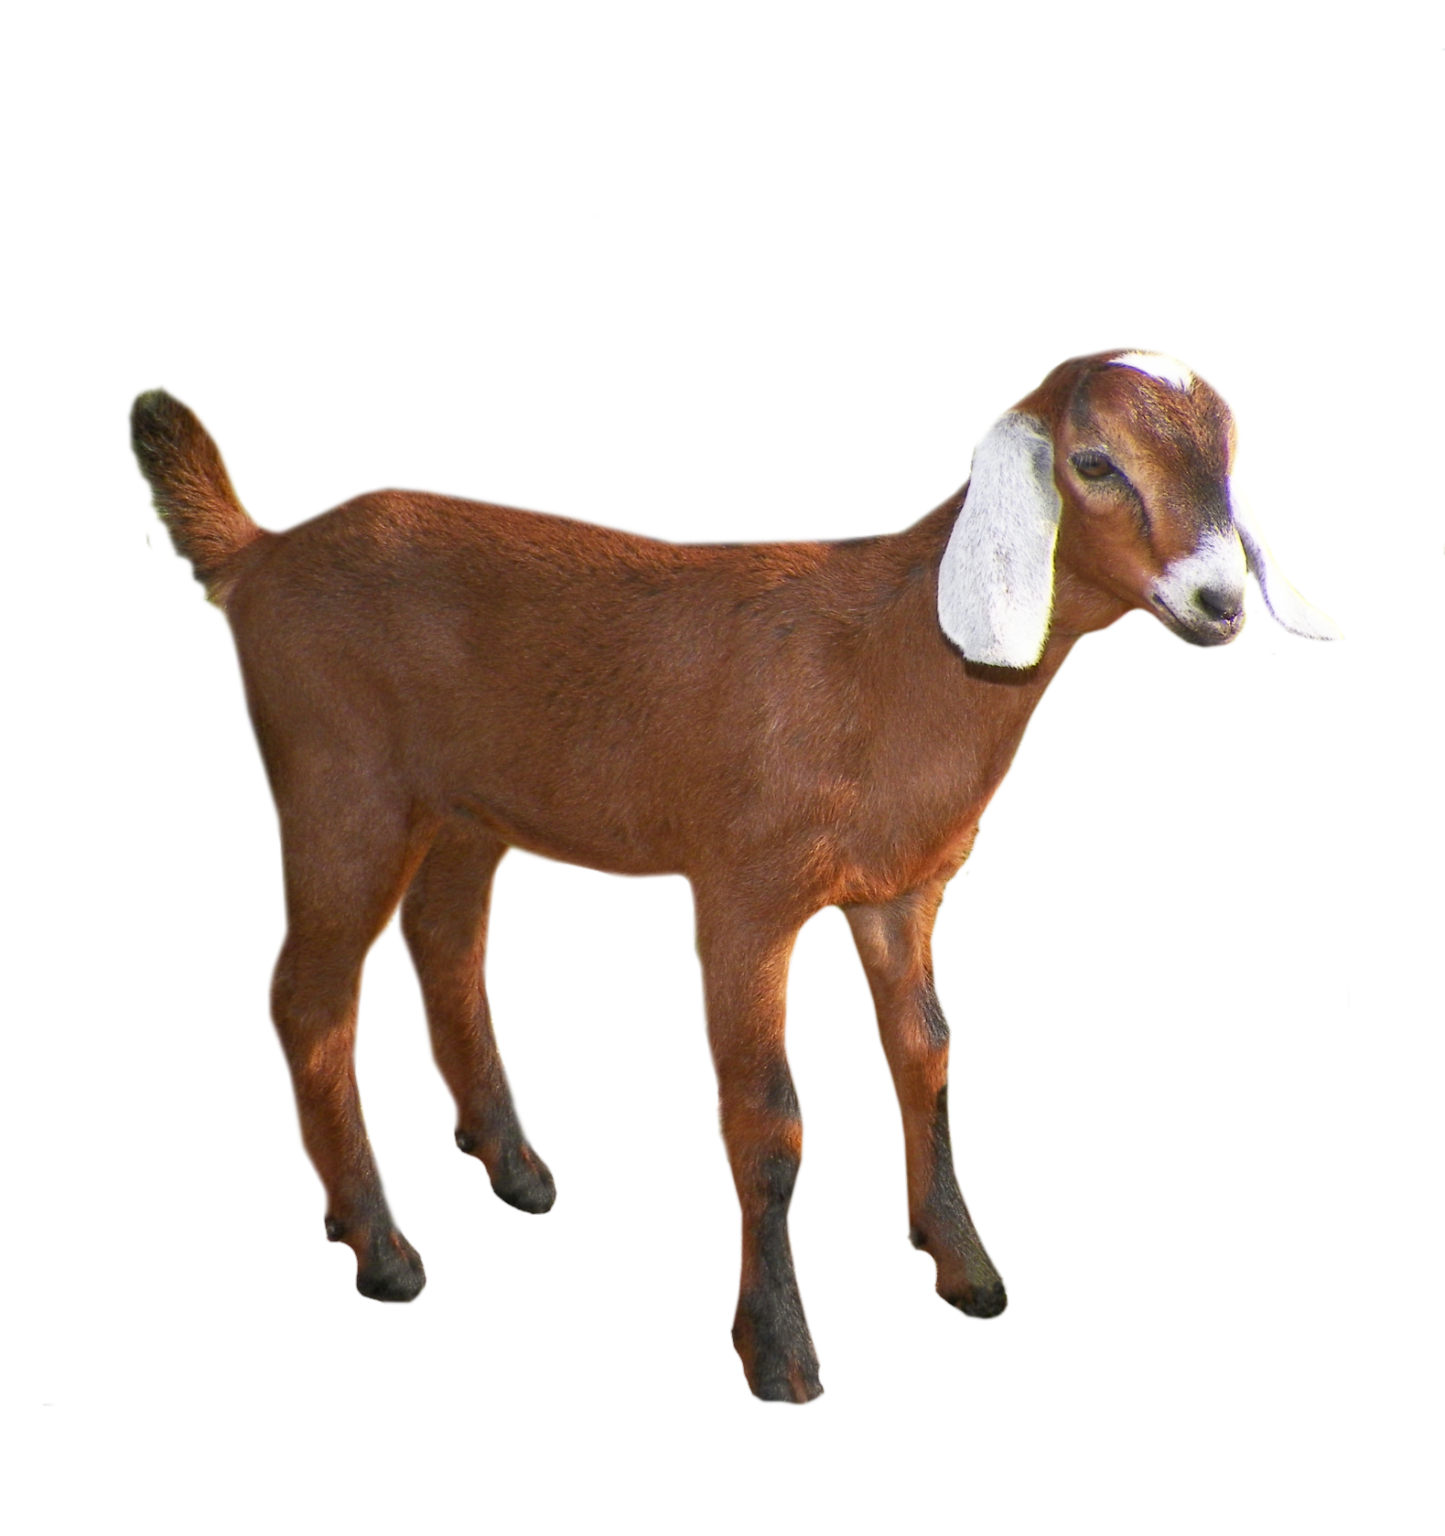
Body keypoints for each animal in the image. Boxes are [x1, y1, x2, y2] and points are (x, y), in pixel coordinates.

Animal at [128, 348, 1342, 1406]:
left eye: (1227, 459)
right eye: (1091, 462)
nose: (1219, 603)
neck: (891, 658)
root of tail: (258, 554)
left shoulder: (899, 891)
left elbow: (927, 1056)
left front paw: (963, 1266)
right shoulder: (744, 894)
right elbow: (766, 1119)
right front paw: (779, 1350)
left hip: (468, 807)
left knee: (447, 946)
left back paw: (510, 1165)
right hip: (338, 788)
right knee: (309, 1000)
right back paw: (379, 1245)